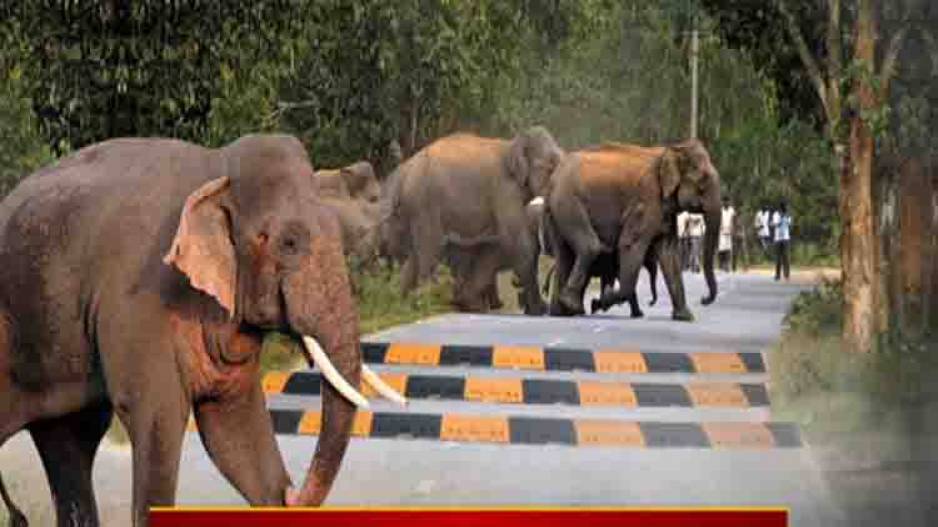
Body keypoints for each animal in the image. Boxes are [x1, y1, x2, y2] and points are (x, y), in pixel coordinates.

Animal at [0, 135, 404, 526]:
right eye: (289, 243)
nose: (293, 492)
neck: (217, 168)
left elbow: (231, 427)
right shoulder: (138, 304)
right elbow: (157, 417)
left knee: (70, 443)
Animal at [383, 126, 565, 315]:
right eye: (551, 167)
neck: (512, 145)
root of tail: (403, 172)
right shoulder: (504, 189)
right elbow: (517, 241)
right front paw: (540, 310)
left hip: (413, 209)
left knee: (414, 255)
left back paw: (403, 305)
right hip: (424, 202)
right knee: (430, 249)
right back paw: (428, 303)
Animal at [545, 140, 721, 321]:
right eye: (702, 183)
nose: (704, 299)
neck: (673, 150)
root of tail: (554, 177)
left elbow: (669, 252)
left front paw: (685, 317)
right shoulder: (646, 200)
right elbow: (630, 244)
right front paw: (601, 300)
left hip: (558, 210)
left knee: (564, 255)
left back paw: (562, 312)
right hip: (568, 202)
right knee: (590, 247)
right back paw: (571, 304)